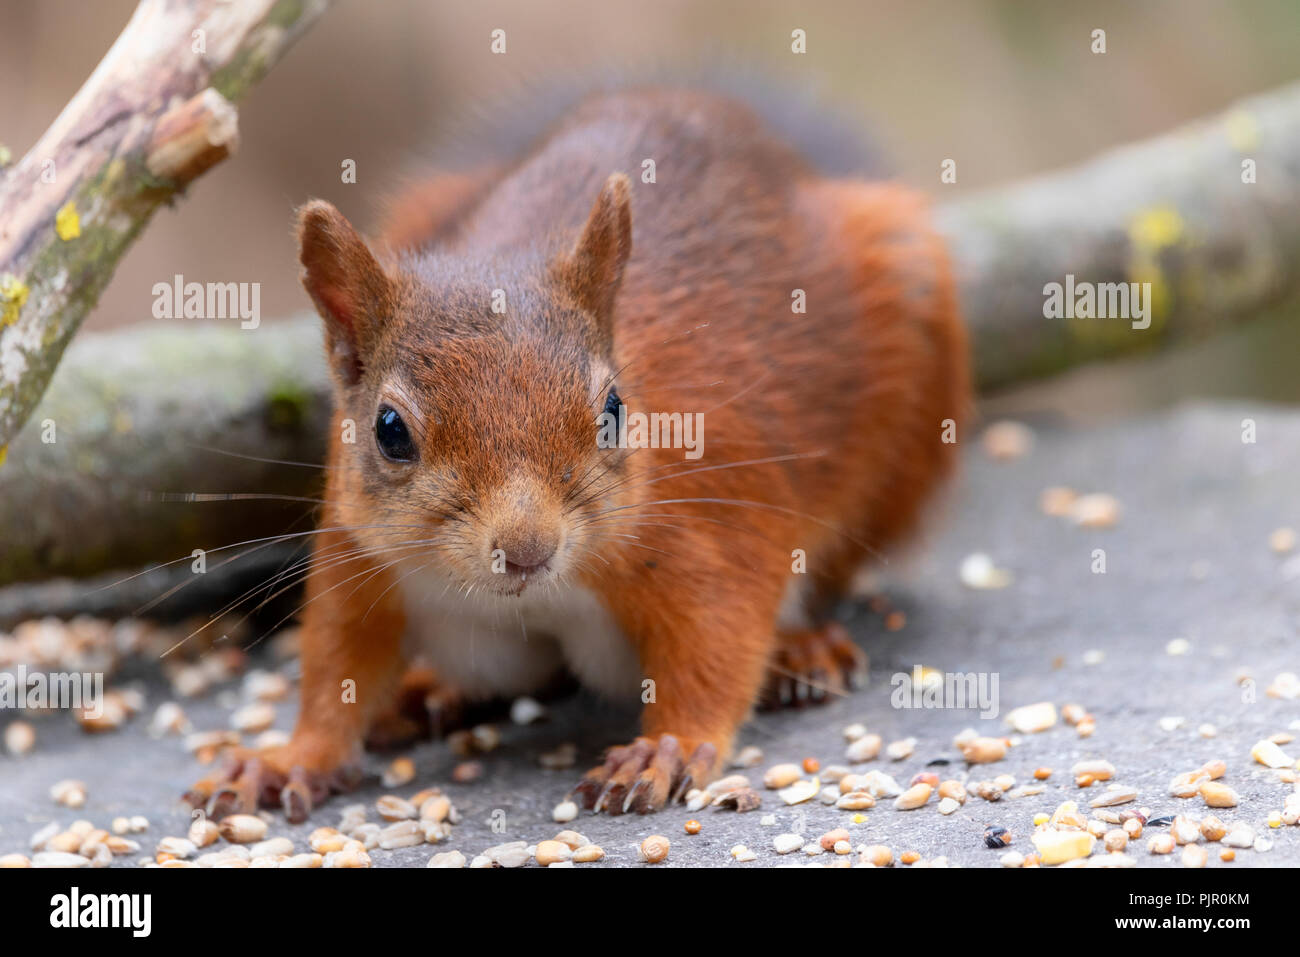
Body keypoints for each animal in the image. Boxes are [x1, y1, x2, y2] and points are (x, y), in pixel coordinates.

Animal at [185, 87, 969, 821]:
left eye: (615, 409)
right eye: (389, 430)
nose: (527, 549)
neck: (532, 597)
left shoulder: (708, 535)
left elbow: (715, 646)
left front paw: (666, 748)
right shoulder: (359, 556)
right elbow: (335, 667)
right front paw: (289, 759)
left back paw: (802, 650)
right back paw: (429, 687)